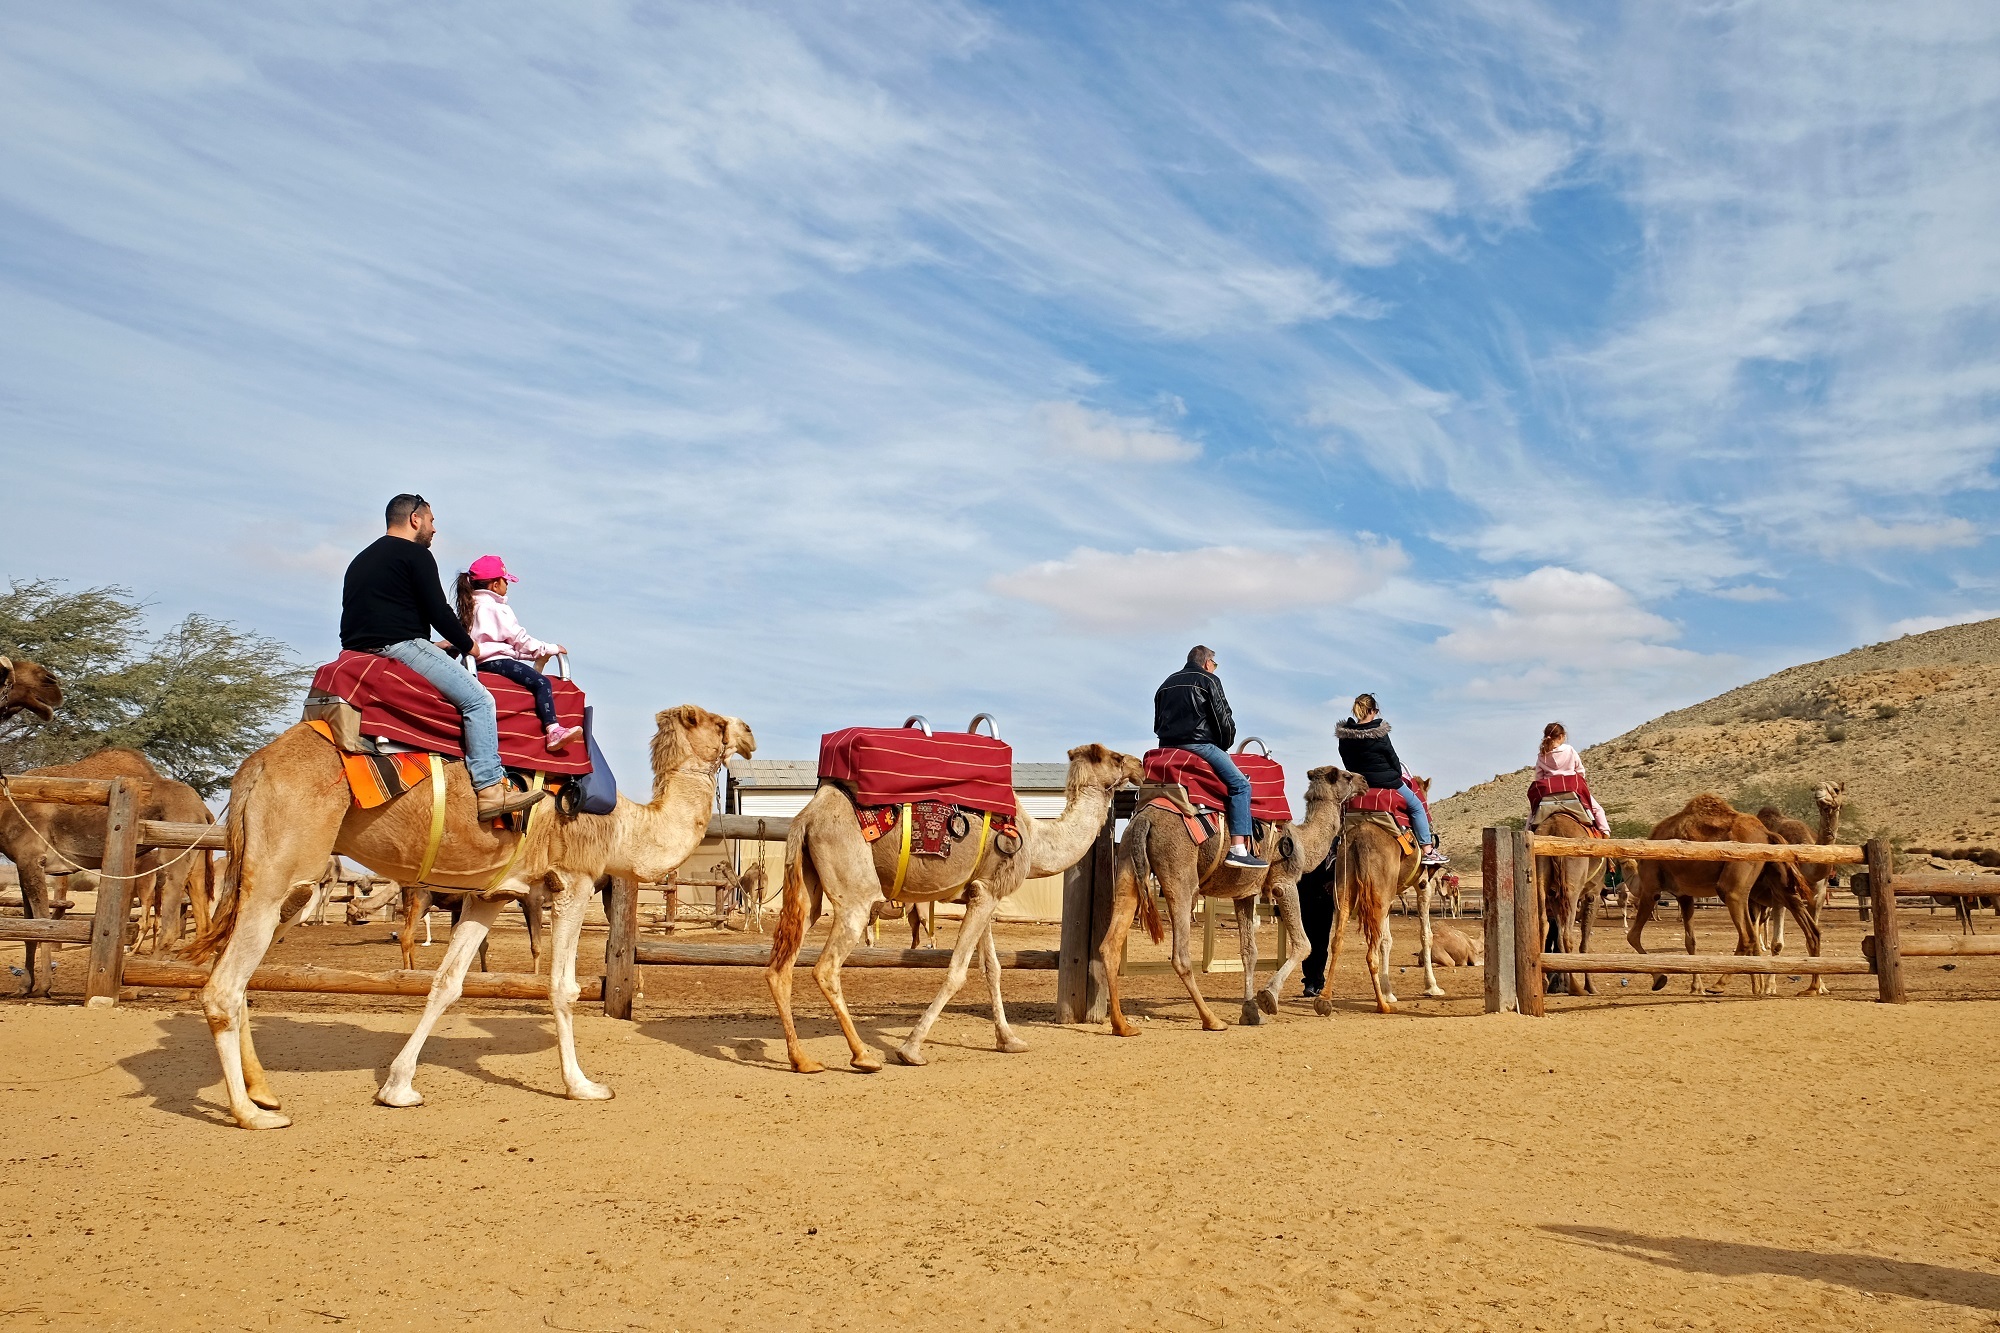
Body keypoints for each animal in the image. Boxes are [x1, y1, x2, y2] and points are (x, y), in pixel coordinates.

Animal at [0, 747, 214, 995]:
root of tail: (204, 811)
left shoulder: (32, 859)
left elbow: (42, 923)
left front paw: (43, 987)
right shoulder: (22, 863)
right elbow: (28, 928)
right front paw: (24, 987)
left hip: (173, 854)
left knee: (169, 926)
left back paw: (134, 989)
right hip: (196, 859)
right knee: (203, 924)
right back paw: (187, 990)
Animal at [184, 703, 755, 1129]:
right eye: (711, 721)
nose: (749, 734)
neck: (624, 827)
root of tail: (254, 767)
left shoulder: (490, 894)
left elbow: (447, 983)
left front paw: (398, 1087)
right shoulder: (573, 879)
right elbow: (562, 987)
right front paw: (583, 1086)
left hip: (289, 882)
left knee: (241, 974)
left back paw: (265, 1092)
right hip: (281, 865)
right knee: (224, 986)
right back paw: (249, 1113)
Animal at [768, 743, 1143, 1073]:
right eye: (1116, 757)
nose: (1139, 765)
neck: (1037, 840)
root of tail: (806, 818)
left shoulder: (983, 892)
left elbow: (993, 969)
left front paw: (1009, 1040)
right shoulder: (988, 892)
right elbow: (957, 971)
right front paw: (910, 1050)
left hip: (808, 888)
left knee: (779, 966)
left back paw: (802, 1060)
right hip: (854, 889)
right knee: (826, 967)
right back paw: (863, 1056)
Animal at [1100, 765, 1367, 1035]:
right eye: (1346, 776)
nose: (1364, 781)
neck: (1303, 843)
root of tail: (1144, 819)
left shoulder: (1245, 893)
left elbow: (1249, 952)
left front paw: (1251, 1012)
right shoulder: (1284, 882)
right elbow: (1304, 944)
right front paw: (1268, 998)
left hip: (1127, 867)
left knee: (1110, 944)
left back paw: (1122, 1026)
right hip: (1179, 875)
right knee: (1180, 954)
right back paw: (1211, 1020)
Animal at [1624, 793, 1823, 997]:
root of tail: (1767, 833)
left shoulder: (1651, 888)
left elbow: (1633, 936)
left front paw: (1659, 979)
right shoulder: (1684, 895)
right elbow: (1690, 941)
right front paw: (1696, 987)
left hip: (1733, 887)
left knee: (1747, 935)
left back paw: (1719, 984)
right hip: (1778, 883)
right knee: (1811, 930)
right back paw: (1812, 987)